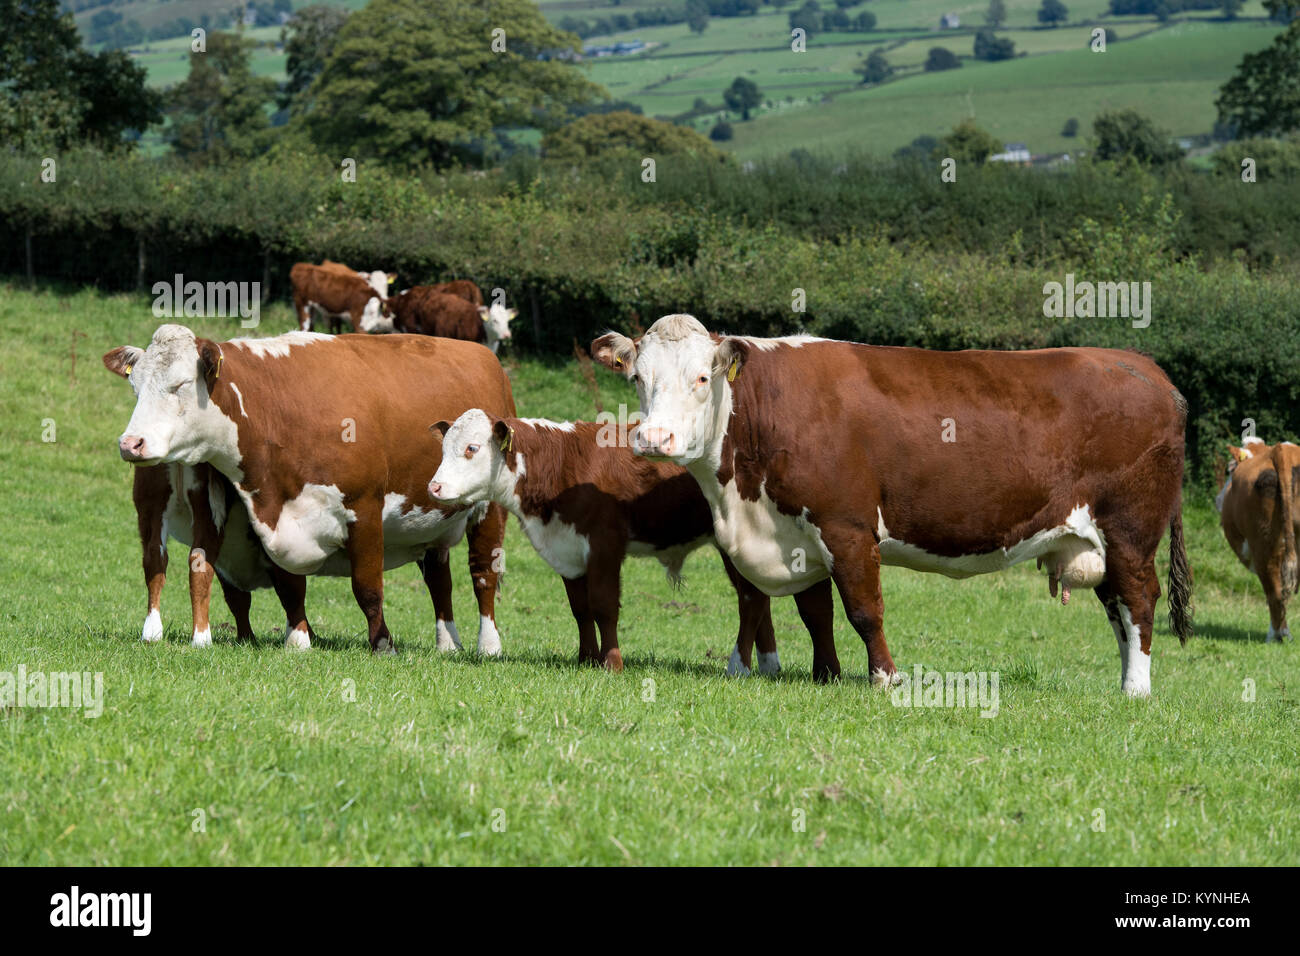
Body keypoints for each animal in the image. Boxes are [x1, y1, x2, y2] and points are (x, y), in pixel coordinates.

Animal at [126, 462, 316, 649]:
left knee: (156, 559)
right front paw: (301, 640)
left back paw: (152, 632)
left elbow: (238, 599)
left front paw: (247, 639)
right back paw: (201, 638)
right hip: (207, 511)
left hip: (153, 500)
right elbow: (292, 592)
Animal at [426, 411, 780, 675]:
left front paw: (612, 663)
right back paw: (768, 665)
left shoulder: (604, 545)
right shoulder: (567, 550)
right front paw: (586, 659)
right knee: (759, 600)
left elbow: (604, 606)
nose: (435, 487)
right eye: (442, 450)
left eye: (472, 448)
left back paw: (739, 666)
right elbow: (581, 609)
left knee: (750, 600)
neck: (561, 466)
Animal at [592, 314, 1193, 697]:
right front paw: (818, 674)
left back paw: (1136, 690)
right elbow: (799, 609)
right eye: (638, 377)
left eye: (702, 377)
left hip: (1130, 529)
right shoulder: (788, 532)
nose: (655, 438)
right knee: (1117, 605)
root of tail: (1145, 367)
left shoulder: (847, 525)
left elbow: (863, 608)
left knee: (1139, 599)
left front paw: (885, 678)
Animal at [1216, 437, 1299, 642]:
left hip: (1262, 545)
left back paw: (1276, 635)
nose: (1218, 500)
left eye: (1231, 468)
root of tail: (1283, 451)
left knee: (1274, 591)